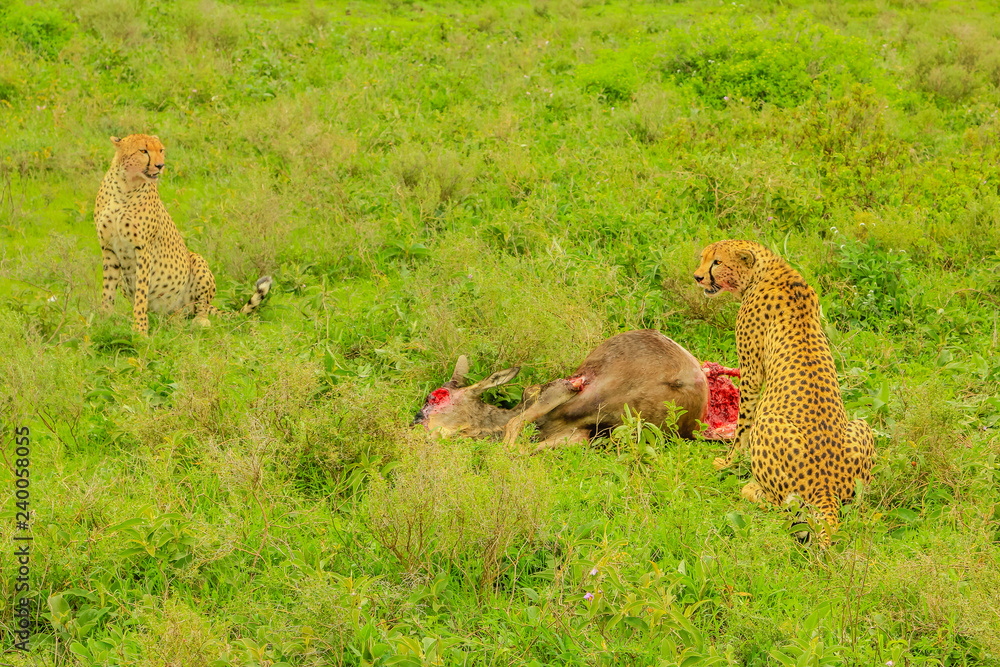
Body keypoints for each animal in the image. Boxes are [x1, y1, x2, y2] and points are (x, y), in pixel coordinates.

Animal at [95, 134, 271, 335]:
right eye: (143, 151)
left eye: (161, 150)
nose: (160, 165)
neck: (126, 185)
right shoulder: (108, 249)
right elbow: (108, 292)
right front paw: (105, 323)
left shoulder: (143, 249)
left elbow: (141, 294)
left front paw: (140, 330)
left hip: (197, 261)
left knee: (199, 308)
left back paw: (198, 321)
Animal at [693, 239, 874, 542]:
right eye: (704, 257)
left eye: (717, 262)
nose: (697, 277)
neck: (767, 270)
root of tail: (826, 485)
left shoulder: (752, 372)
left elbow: (742, 424)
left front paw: (730, 462)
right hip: (862, 428)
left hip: (768, 425)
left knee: (783, 504)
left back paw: (751, 489)